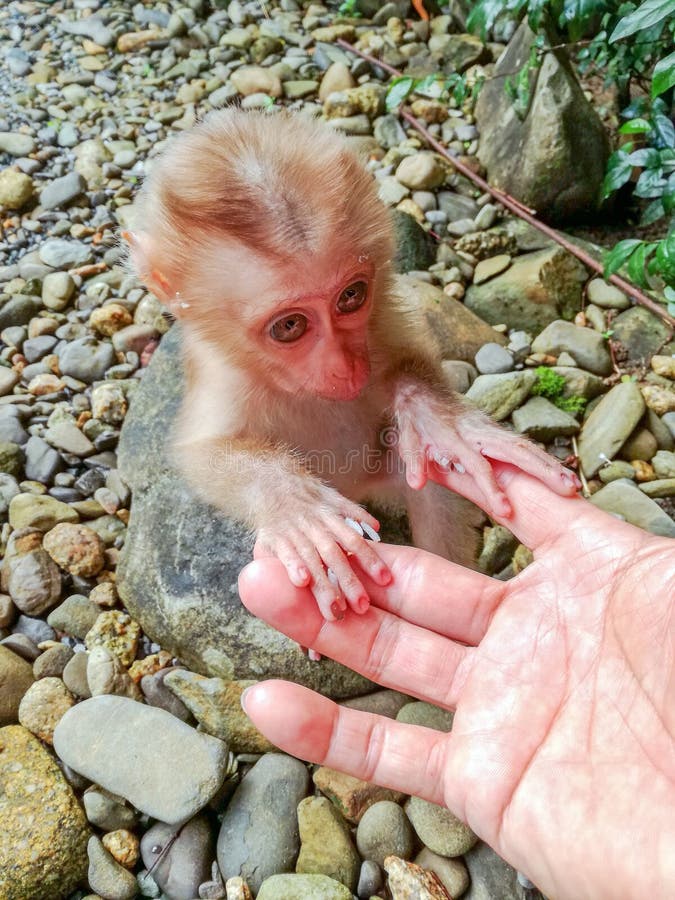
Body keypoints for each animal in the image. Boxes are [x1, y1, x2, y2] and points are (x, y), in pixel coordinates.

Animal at [126, 108, 579, 623]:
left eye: (351, 296)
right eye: (290, 326)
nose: (345, 366)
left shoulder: (379, 315)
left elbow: (407, 362)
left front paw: (437, 419)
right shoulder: (223, 374)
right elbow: (201, 451)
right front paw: (293, 504)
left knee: (425, 481)